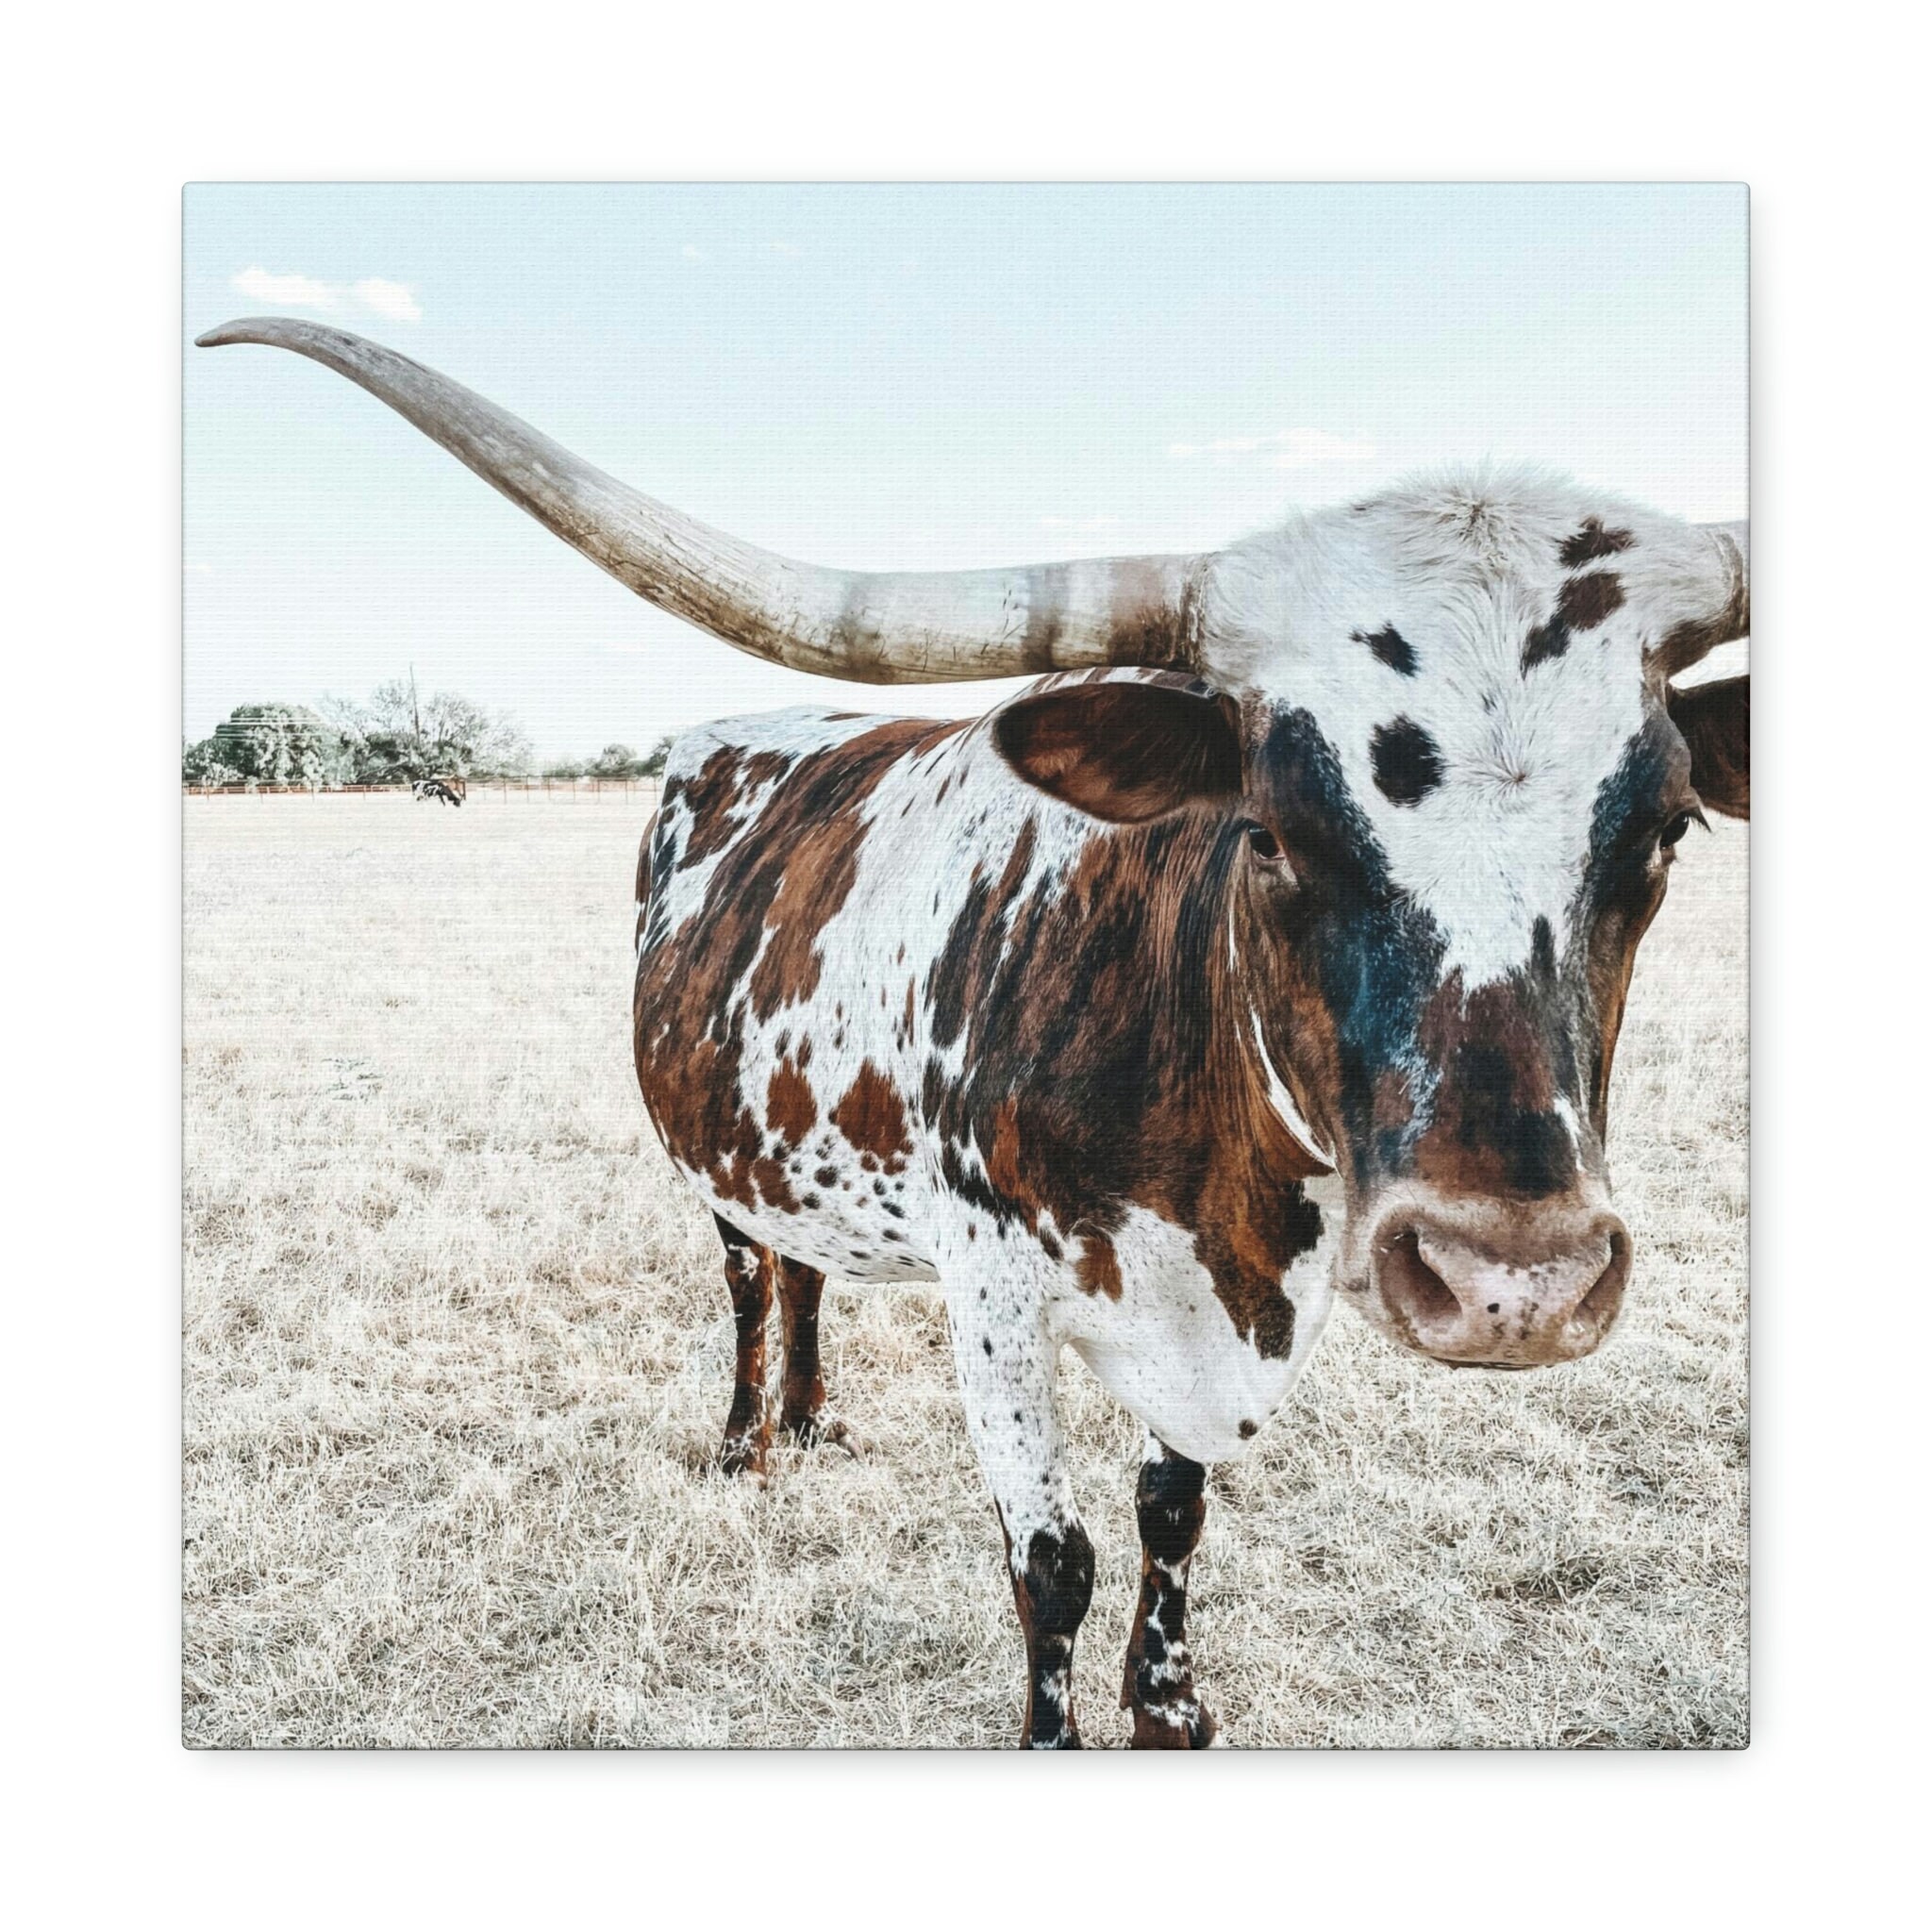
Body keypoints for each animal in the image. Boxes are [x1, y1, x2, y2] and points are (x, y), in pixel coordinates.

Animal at [199, 318, 1750, 1748]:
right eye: (1269, 830)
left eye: (1667, 829)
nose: (1511, 1284)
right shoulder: (993, 1292)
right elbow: (1052, 1563)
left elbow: (1170, 1510)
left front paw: (1167, 1705)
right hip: (717, 1154)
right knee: (752, 1280)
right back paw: (749, 1443)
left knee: (807, 1274)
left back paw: (812, 1417)